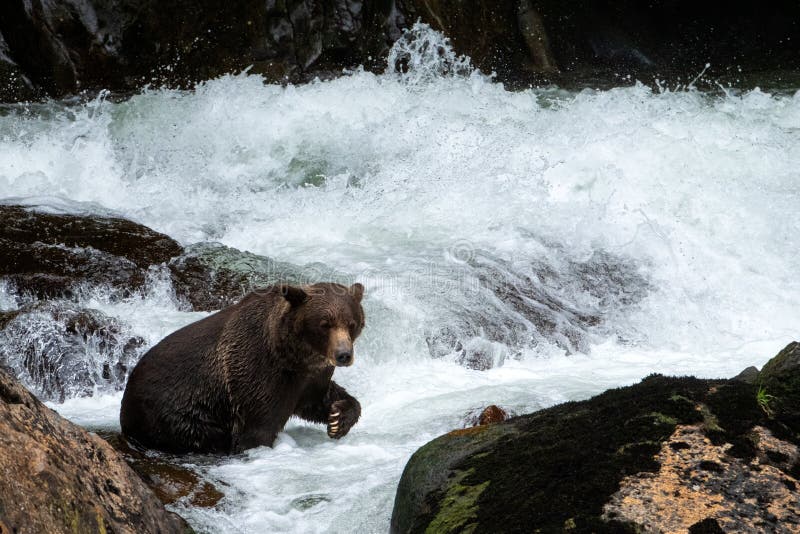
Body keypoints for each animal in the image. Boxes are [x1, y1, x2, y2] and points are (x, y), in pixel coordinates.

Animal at [119, 282, 365, 454]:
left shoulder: (310, 378)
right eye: (325, 324)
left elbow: (319, 400)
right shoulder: (259, 372)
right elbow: (256, 429)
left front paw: (338, 418)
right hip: (178, 413)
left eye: (351, 323)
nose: (343, 355)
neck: (294, 356)